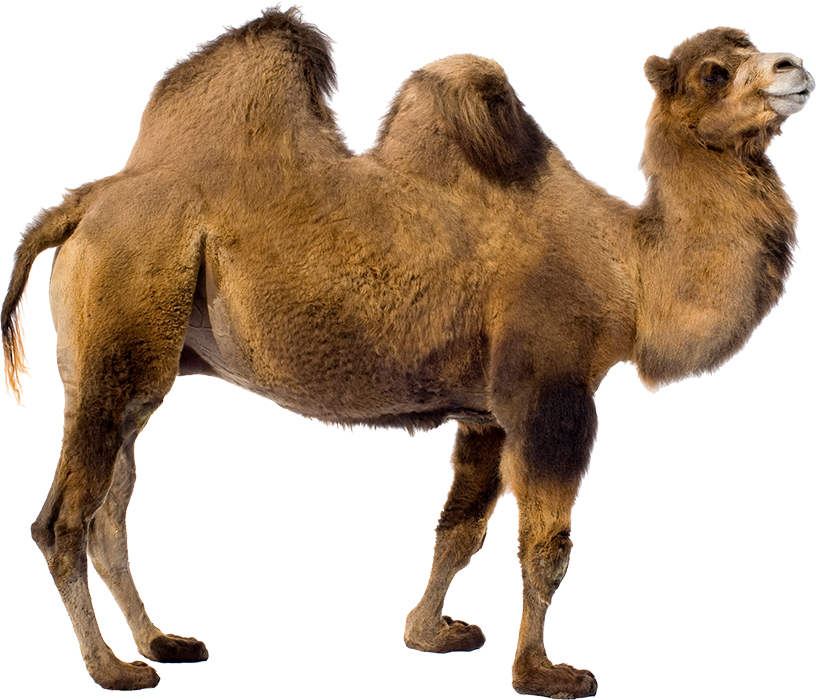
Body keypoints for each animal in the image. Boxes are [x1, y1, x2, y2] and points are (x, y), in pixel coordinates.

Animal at [2, 7, 813, 697]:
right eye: (714, 71)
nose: (794, 65)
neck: (631, 269)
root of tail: (79, 205)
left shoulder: (487, 411)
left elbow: (460, 531)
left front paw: (429, 633)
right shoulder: (551, 393)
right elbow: (546, 547)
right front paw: (542, 673)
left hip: (128, 360)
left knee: (112, 507)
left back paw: (161, 641)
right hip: (126, 304)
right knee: (62, 521)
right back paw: (111, 669)